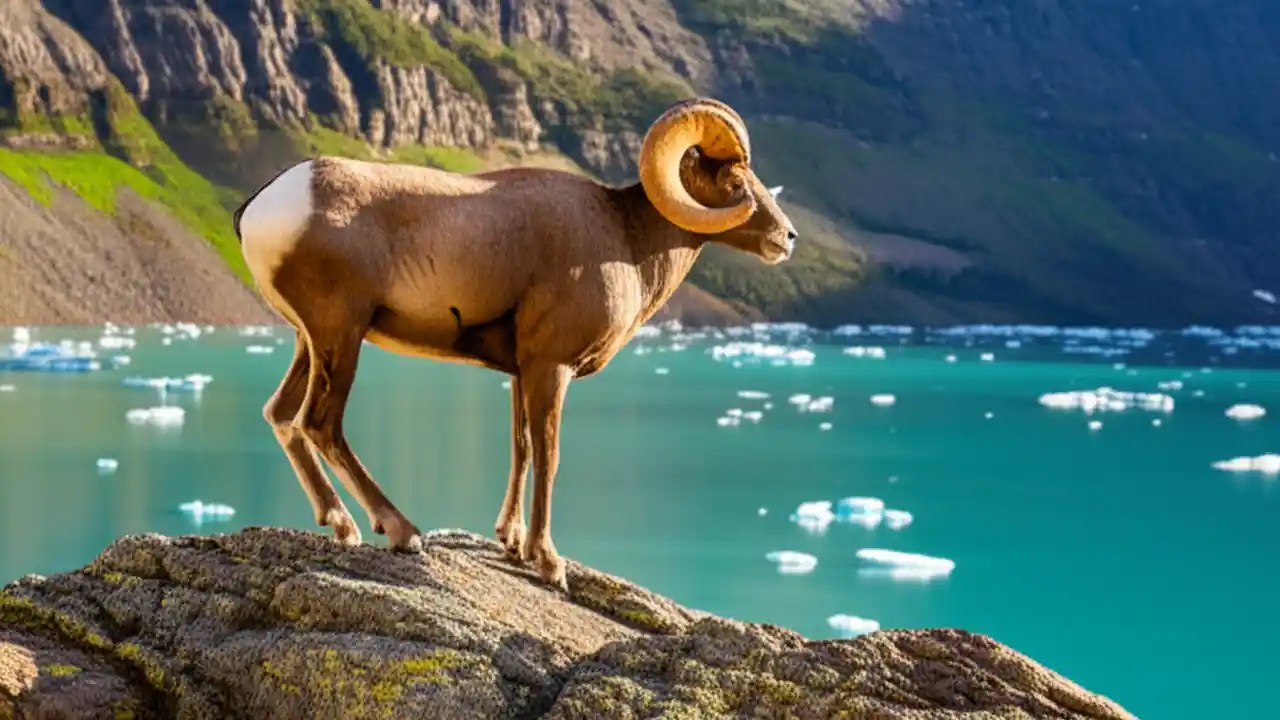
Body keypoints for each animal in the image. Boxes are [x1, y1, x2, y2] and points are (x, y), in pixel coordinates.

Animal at [234, 97, 797, 589]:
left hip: (310, 342)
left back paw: (342, 526)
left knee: (281, 415)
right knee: (319, 423)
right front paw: (548, 563)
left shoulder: (521, 373)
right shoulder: (551, 368)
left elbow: (521, 448)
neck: (627, 239)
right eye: (735, 179)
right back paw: (401, 532)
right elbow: (548, 455)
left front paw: (511, 541)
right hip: (341, 337)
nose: (787, 238)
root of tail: (261, 207)